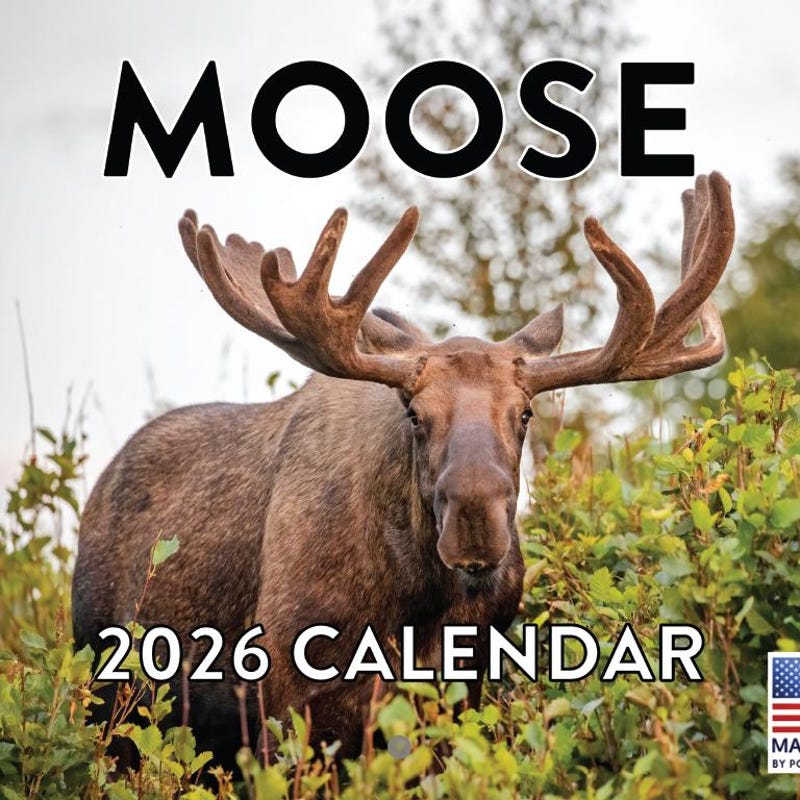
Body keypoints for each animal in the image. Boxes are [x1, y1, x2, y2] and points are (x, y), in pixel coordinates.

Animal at [72, 173, 734, 770]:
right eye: (414, 413)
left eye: (524, 413)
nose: (476, 523)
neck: (418, 604)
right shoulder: (290, 698)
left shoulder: (462, 691)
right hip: (107, 689)